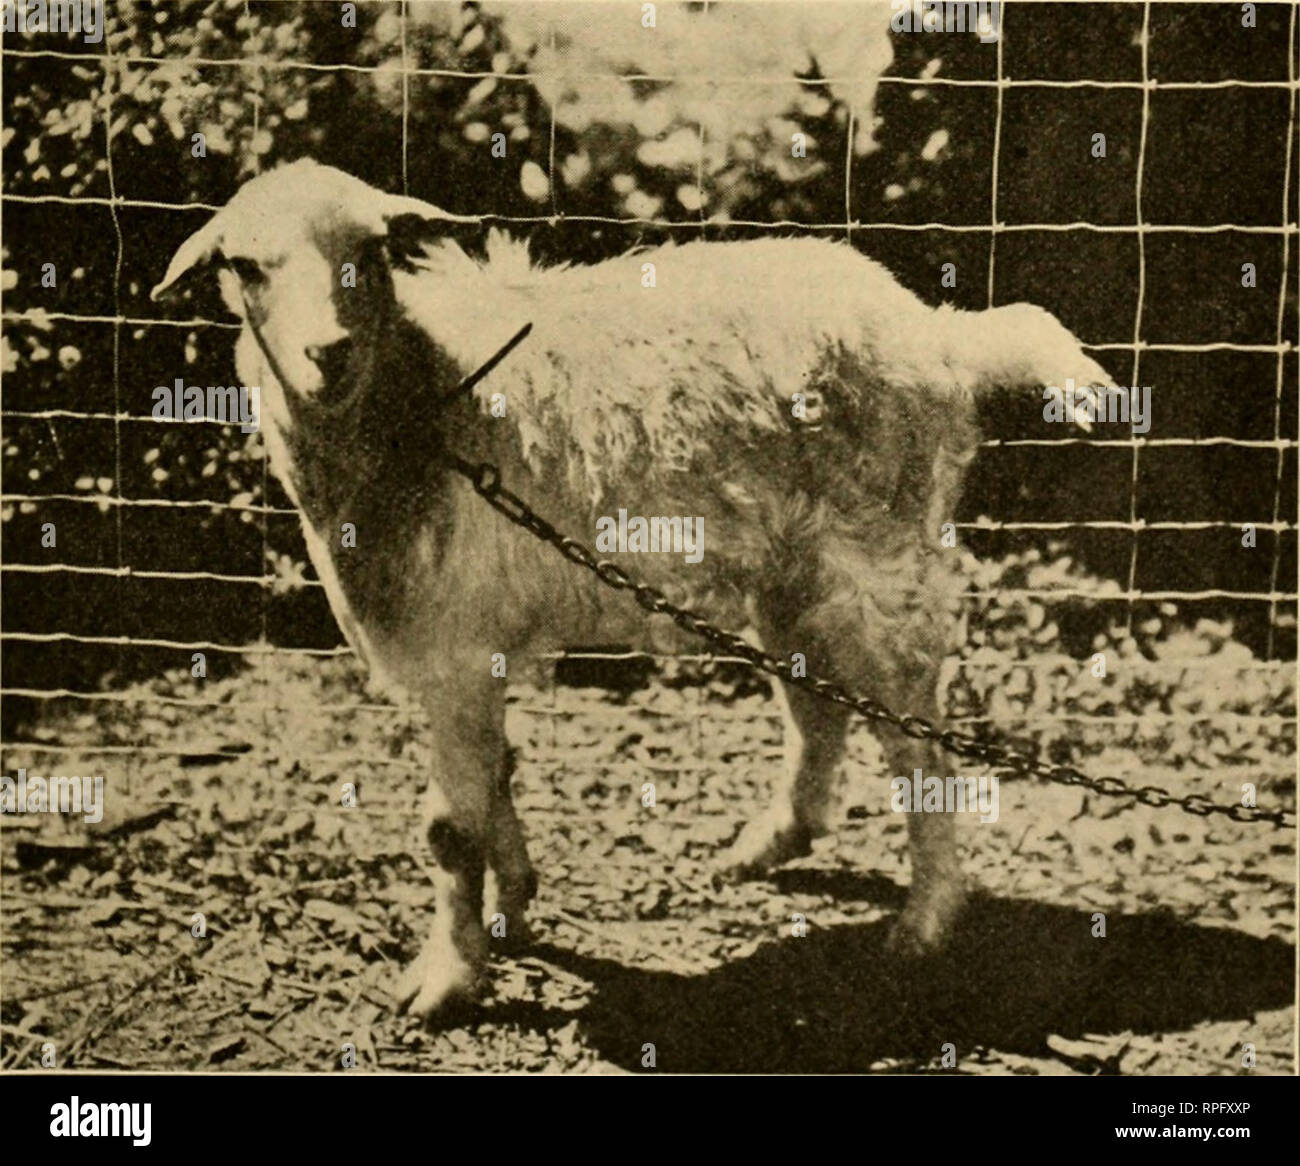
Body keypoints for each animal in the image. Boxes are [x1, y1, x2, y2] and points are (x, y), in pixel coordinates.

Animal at [152, 159, 1113, 1020]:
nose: (328, 352)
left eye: (372, 248)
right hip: (794, 569)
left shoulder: (456, 646)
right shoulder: (468, 650)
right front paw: (512, 907)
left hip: (882, 559)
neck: (420, 400)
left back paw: (924, 925)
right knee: (819, 710)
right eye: (245, 266)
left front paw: (448, 980)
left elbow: (451, 830)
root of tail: (938, 335)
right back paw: (768, 845)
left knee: (918, 748)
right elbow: (495, 781)